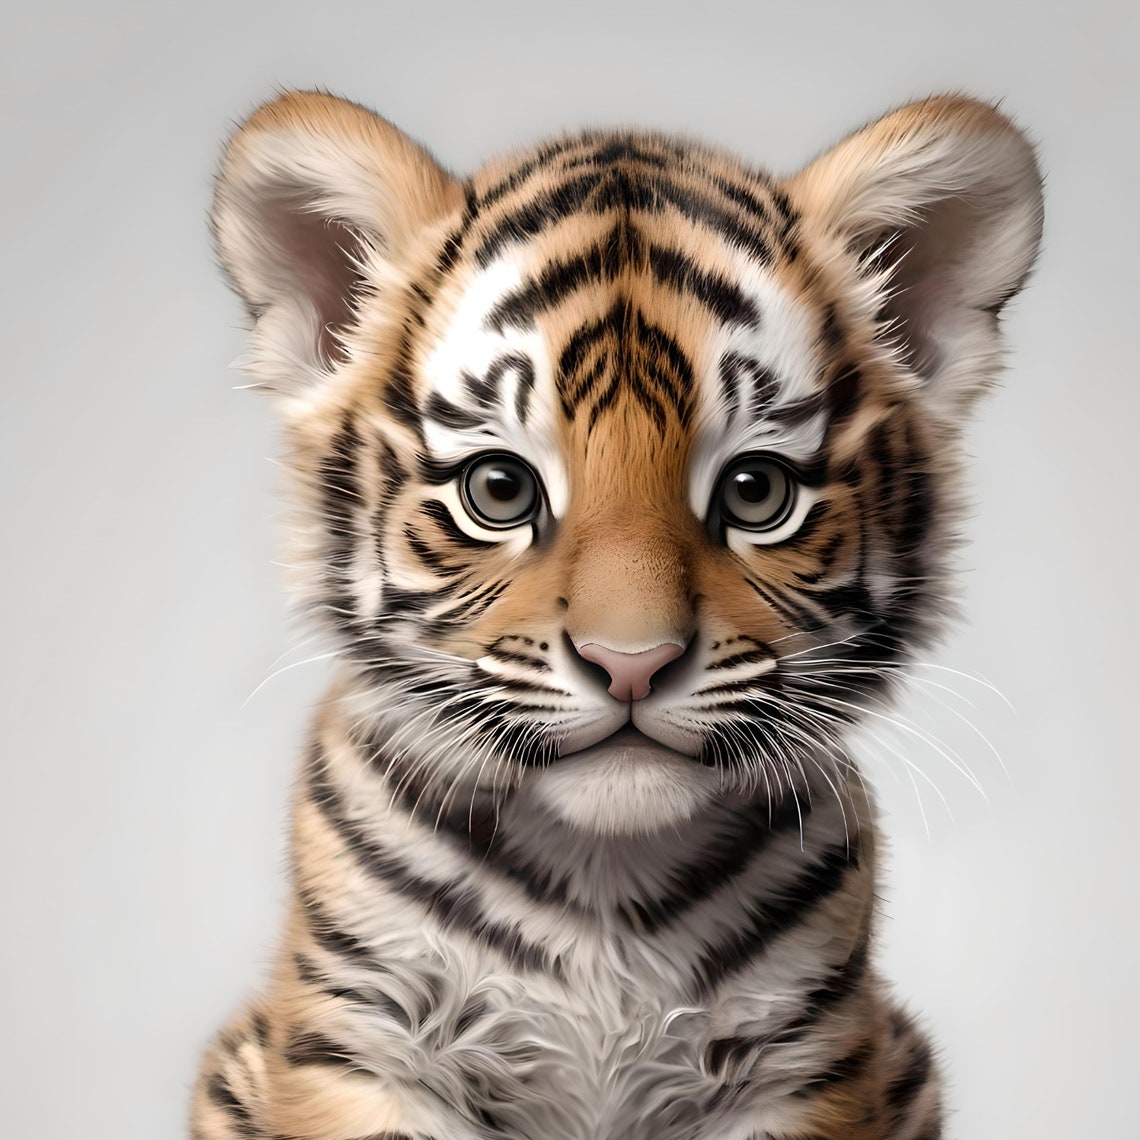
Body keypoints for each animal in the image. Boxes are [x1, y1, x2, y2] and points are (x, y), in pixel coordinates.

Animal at [191, 90, 1043, 1140]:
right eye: (499, 490)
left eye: (757, 492)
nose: (630, 663)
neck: (604, 878)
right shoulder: (363, 1039)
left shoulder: (802, 1061)